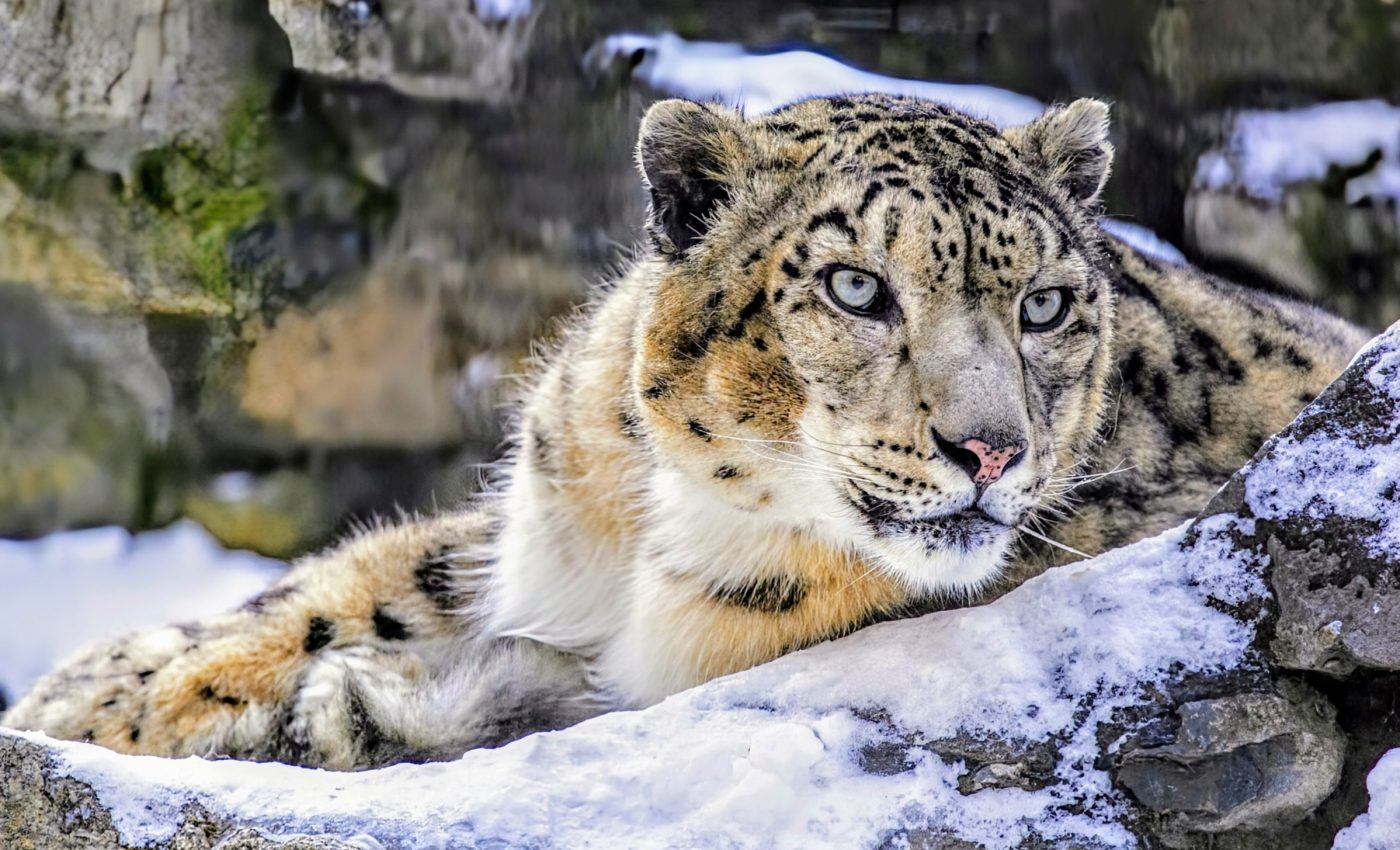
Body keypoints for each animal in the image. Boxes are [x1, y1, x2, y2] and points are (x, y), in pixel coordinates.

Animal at [3, 94, 1369, 770]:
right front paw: (87, 690)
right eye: (856, 288)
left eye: (1042, 304)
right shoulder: (526, 533)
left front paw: (366, 707)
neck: (650, 530)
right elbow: (361, 578)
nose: (989, 451)